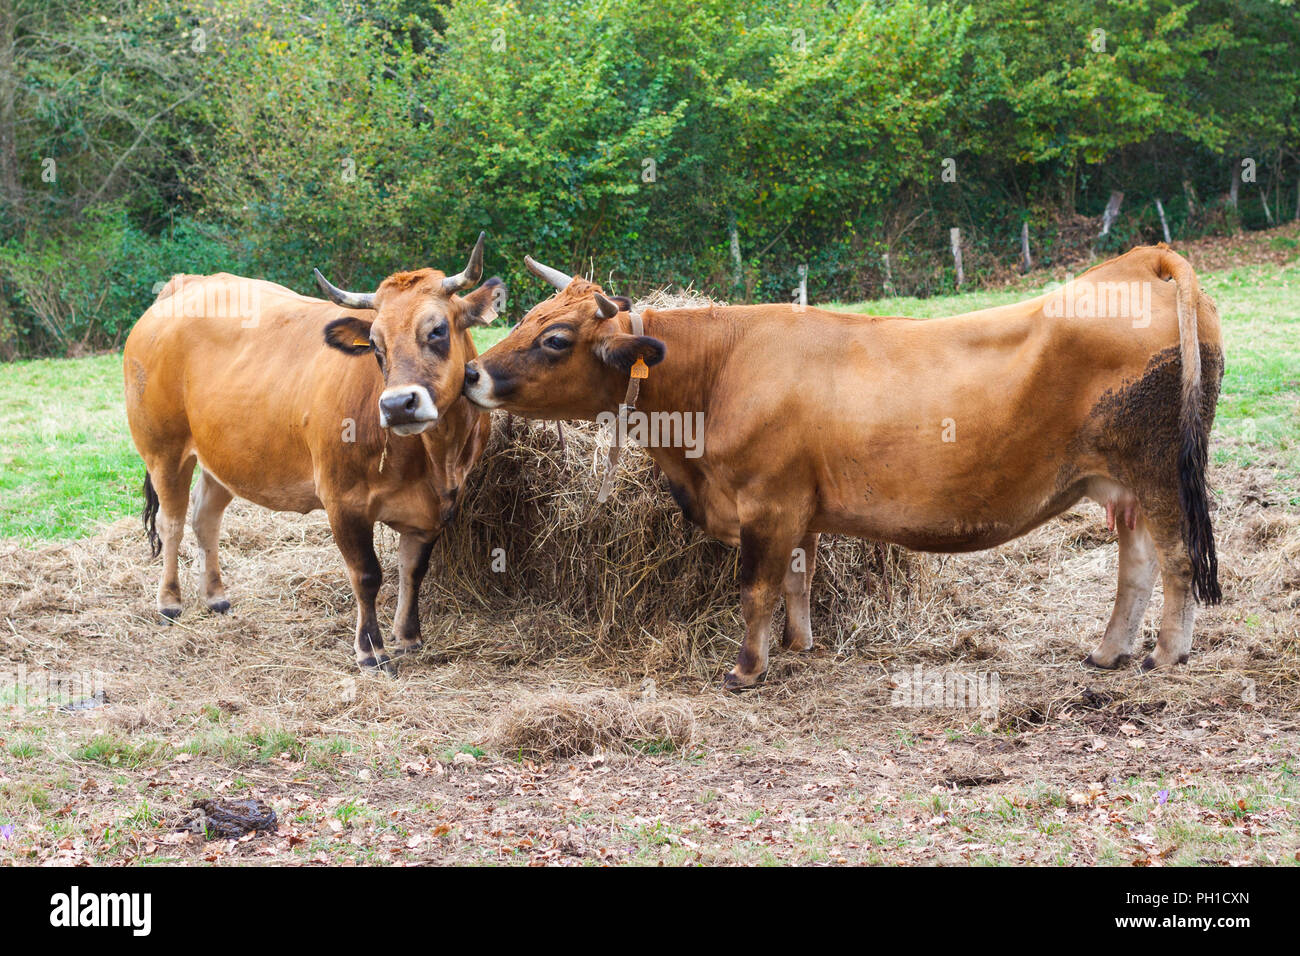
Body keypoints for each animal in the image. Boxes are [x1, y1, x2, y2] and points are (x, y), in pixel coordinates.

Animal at [123, 235, 504, 673]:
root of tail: (186, 284)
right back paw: (169, 601)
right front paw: (370, 649)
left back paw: (216, 596)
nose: (397, 405)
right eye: (375, 345)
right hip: (164, 450)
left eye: (438, 330)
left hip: (223, 456)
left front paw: (408, 637)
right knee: (171, 522)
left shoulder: (434, 509)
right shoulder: (343, 502)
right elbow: (367, 575)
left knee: (205, 517)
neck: (435, 458)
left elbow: (413, 571)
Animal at [463, 245, 1223, 690]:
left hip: (1159, 473)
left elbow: (756, 590)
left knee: (1178, 559)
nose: (471, 373)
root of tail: (1144, 260)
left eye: (556, 338)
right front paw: (800, 648)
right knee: (1136, 566)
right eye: (528, 315)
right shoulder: (798, 508)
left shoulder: (766, 505)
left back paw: (1166, 656)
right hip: (1121, 483)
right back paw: (1109, 652)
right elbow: (797, 581)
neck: (719, 369)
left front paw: (747, 670)